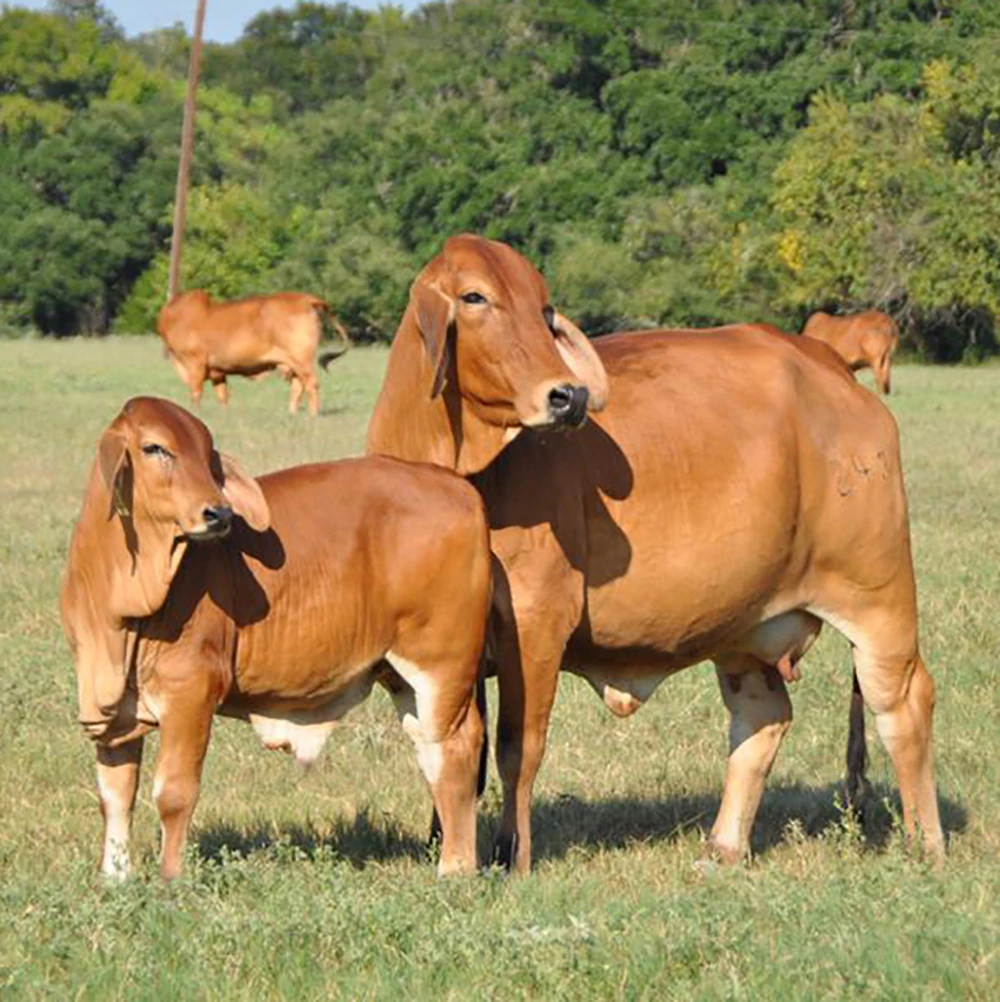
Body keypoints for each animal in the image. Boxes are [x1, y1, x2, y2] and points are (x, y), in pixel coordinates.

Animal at [60, 397, 491, 880]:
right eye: (154, 447)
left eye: (208, 455)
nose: (219, 513)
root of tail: (458, 488)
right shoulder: (111, 712)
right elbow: (115, 796)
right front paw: (115, 877)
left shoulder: (191, 692)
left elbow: (173, 793)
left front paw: (170, 879)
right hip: (401, 676)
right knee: (431, 755)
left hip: (442, 667)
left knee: (456, 749)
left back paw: (455, 867)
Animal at [156, 291, 352, 416]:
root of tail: (306, 299)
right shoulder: (218, 371)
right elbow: (223, 396)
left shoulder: (194, 364)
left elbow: (196, 393)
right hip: (293, 363)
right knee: (298, 386)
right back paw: (292, 414)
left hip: (301, 360)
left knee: (311, 384)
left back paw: (313, 415)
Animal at [366, 234, 944, 874]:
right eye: (474, 297)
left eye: (545, 309)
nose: (568, 396)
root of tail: (828, 364)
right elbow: (454, 745)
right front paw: (444, 843)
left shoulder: (536, 622)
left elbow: (518, 748)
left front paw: (510, 854)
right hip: (744, 623)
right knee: (763, 716)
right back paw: (724, 845)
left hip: (879, 598)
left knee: (904, 704)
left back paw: (926, 842)